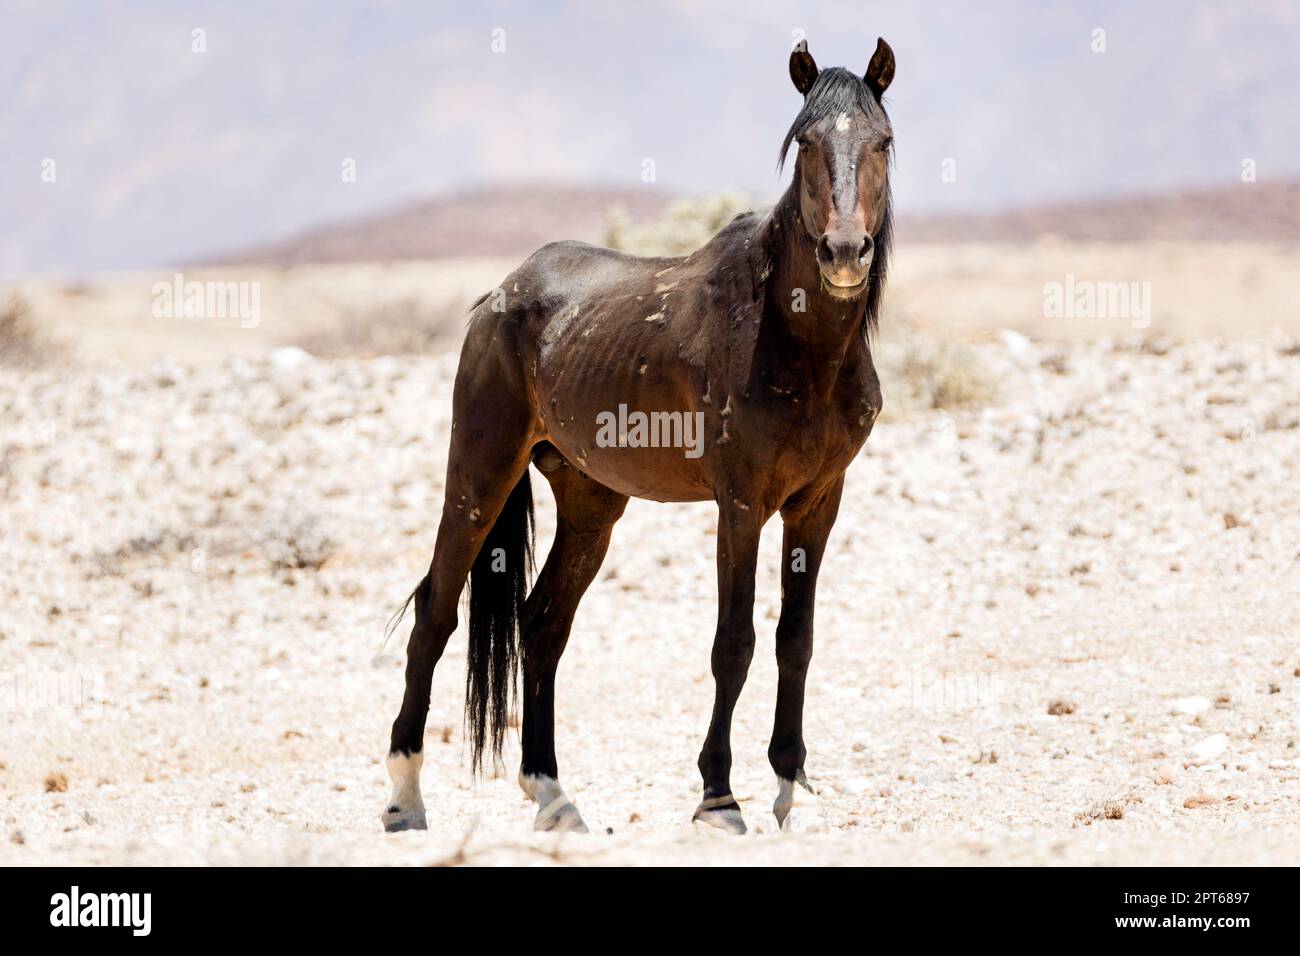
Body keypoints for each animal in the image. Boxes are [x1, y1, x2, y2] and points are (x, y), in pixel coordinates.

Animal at [383, 37, 897, 835]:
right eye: (807, 142)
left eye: (882, 142)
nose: (845, 253)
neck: (793, 342)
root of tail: (499, 295)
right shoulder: (741, 505)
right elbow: (735, 642)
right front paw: (719, 795)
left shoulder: (818, 503)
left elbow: (797, 639)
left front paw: (790, 786)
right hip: (479, 472)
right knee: (436, 613)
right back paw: (406, 799)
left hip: (590, 504)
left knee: (541, 625)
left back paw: (553, 794)